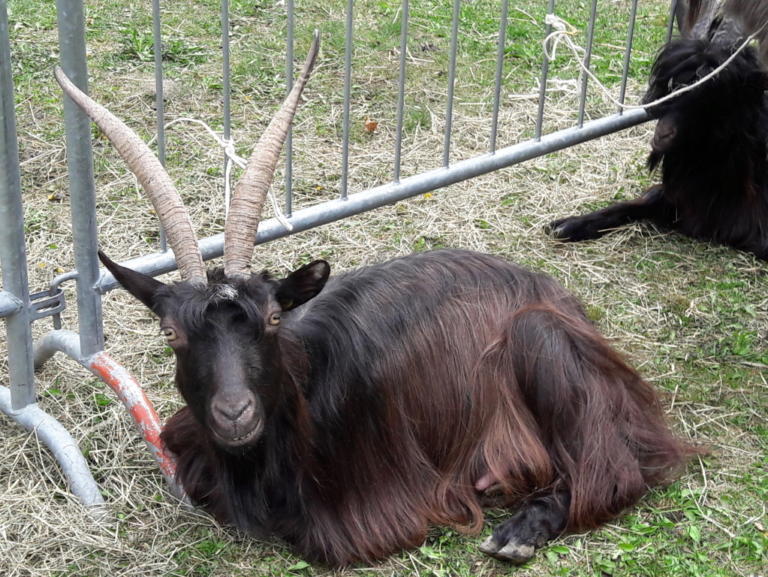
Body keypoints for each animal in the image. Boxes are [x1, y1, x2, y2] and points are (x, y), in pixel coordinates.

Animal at [57, 34, 691, 567]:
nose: (235, 414)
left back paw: (519, 532)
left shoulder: (371, 519)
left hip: (543, 340)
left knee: (620, 471)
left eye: (272, 318)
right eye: (171, 333)